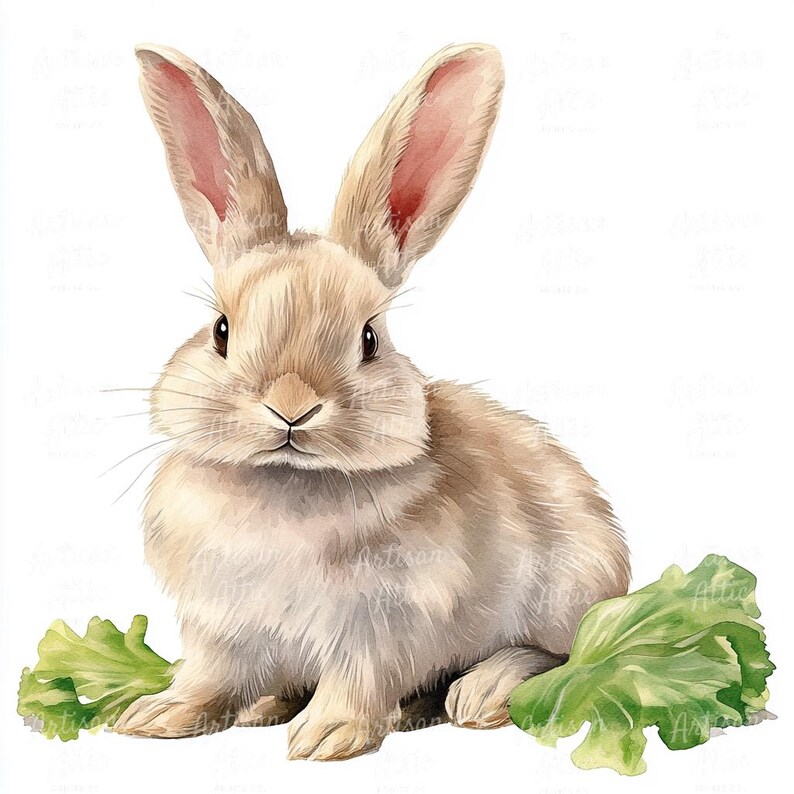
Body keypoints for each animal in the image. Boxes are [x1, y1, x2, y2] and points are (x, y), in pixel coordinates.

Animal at [113, 42, 630, 761]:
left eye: (369, 338)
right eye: (220, 331)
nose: (292, 406)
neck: (286, 482)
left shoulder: (384, 621)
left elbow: (358, 679)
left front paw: (325, 737)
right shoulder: (219, 626)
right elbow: (209, 677)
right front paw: (157, 716)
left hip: (570, 585)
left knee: (556, 654)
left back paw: (481, 692)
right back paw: (273, 703)